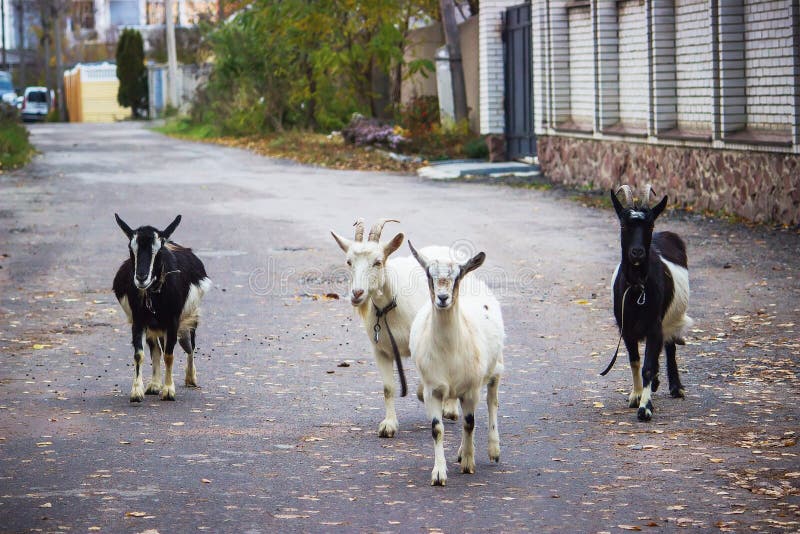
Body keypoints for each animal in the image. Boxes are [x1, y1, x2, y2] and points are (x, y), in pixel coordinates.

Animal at [113, 214, 212, 402]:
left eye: (158, 251)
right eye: (131, 248)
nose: (141, 278)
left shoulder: (173, 321)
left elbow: (169, 354)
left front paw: (168, 391)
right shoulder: (139, 320)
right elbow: (140, 354)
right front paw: (137, 391)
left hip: (189, 318)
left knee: (189, 346)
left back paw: (190, 378)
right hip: (154, 326)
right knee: (156, 349)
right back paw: (154, 384)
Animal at [331, 219, 459, 438]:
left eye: (378, 262)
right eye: (349, 262)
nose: (357, 293)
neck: (390, 308)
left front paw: (424, 395)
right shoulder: (381, 351)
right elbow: (388, 388)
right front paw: (389, 425)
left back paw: (450, 408)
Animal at [408, 243, 505, 486]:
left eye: (457, 276)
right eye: (429, 275)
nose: (443, 298)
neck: (449, 351)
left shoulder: (471, 388)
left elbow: (470, 423)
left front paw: (468, 464)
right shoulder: (433, 389)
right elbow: (437, 429)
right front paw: (439, 474)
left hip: (496, 367)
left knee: (492, 403)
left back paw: (493, 450)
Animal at [608, 184, 693, 421]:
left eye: (650, 224)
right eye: (623, 224)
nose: (637, 252)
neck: (638, 288)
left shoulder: (655, 325)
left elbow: (647, 365)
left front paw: (645, 408)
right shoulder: (626, 329)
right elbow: (635, 361)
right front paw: (636, 396)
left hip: (670, 318)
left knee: (670, 346)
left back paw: (676, 387)